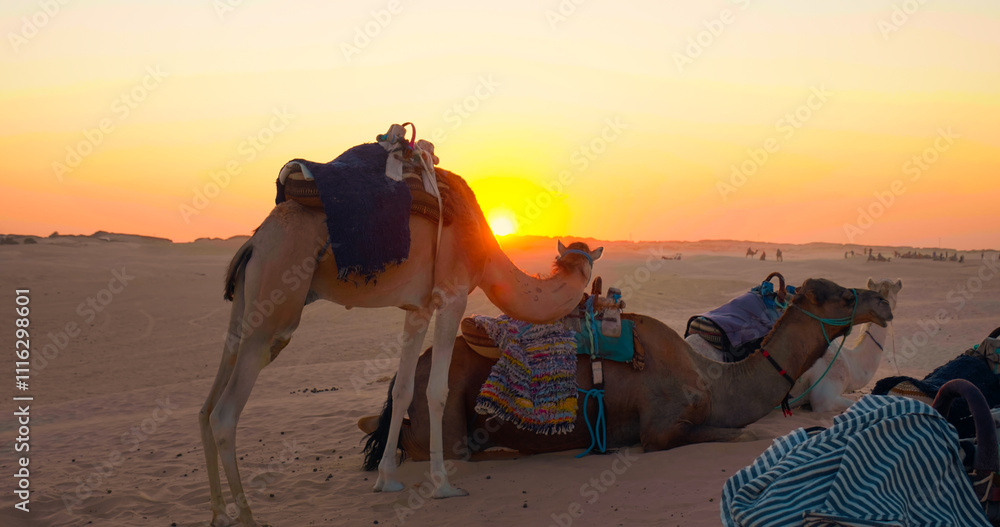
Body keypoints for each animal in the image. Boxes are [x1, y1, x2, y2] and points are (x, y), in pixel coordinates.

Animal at [199, 165, 603, 527]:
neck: (486, 254)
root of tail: (254, 242)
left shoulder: (417, 308)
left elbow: (404, 389)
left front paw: (386, 479)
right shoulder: (453, 294)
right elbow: (437, 390)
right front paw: (443, 484)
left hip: (246, 307)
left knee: (207, 405)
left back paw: (219, 513)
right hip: (276, 303)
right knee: (224, 414)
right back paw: (248, 517)